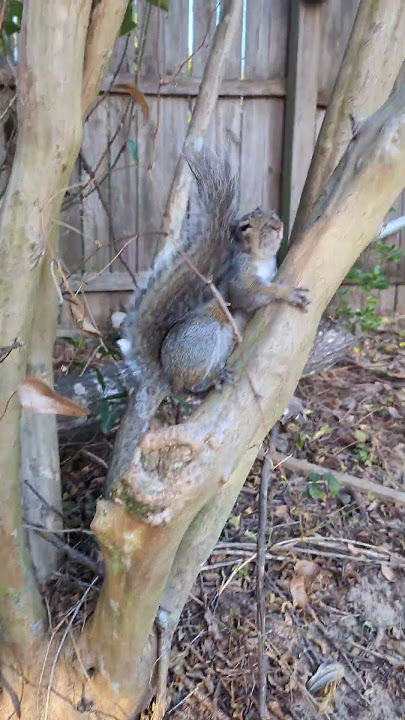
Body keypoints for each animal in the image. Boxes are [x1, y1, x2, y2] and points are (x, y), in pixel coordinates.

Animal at [118, 148, 308, 396]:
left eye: (271, 214)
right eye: (245, 227)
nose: (277, 226)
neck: (261, 259)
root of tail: (168, 373)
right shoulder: (239, 278)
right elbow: (248, 295)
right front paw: (287, 293)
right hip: (203, 336)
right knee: (189, 384)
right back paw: (213, 379)